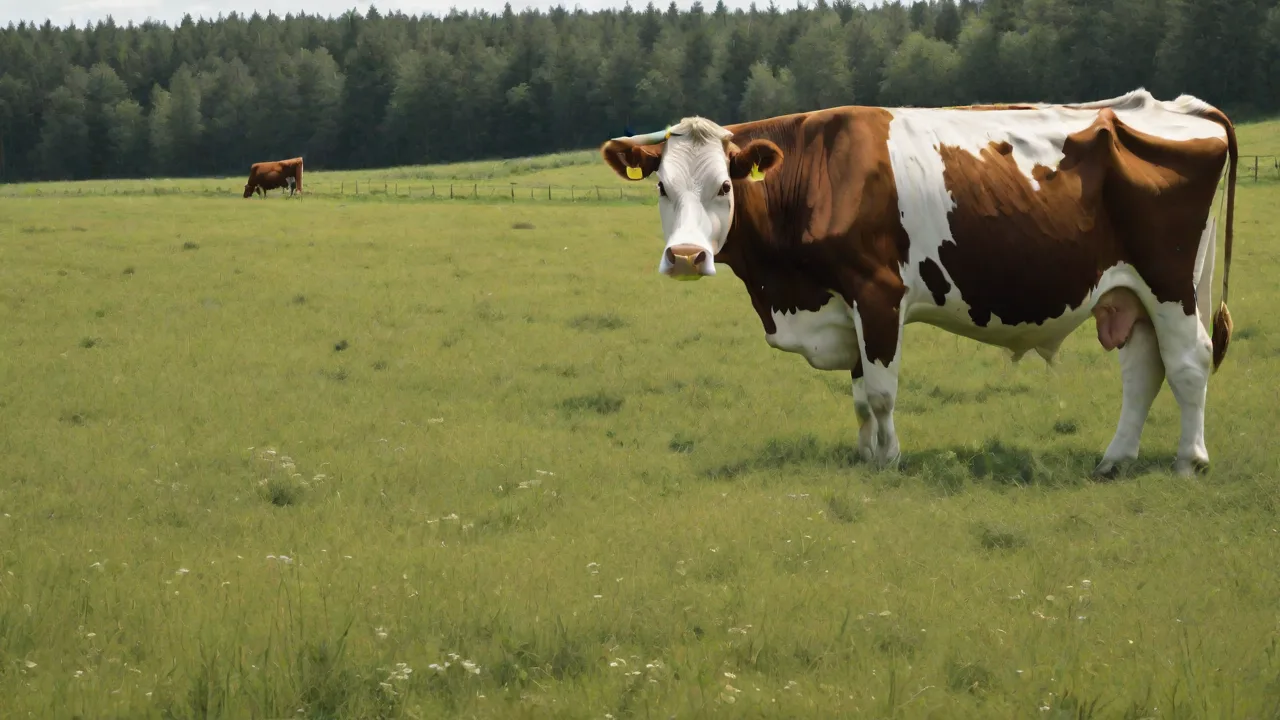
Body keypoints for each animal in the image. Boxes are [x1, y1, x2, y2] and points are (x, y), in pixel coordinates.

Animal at [600, 88, 1238, 479]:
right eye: (662, 187)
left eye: (725, 187)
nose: (686, 256)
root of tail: (1180, 107)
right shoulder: (846, 307)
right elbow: (860, 395)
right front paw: (864, 454)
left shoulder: (876, 292)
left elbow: (882, 392)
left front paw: (890, 460)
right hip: (1129, 292)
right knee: (1143, 370)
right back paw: (1114, 460)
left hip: (1171, 283)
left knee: (1188, 362)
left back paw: (1190, 461)